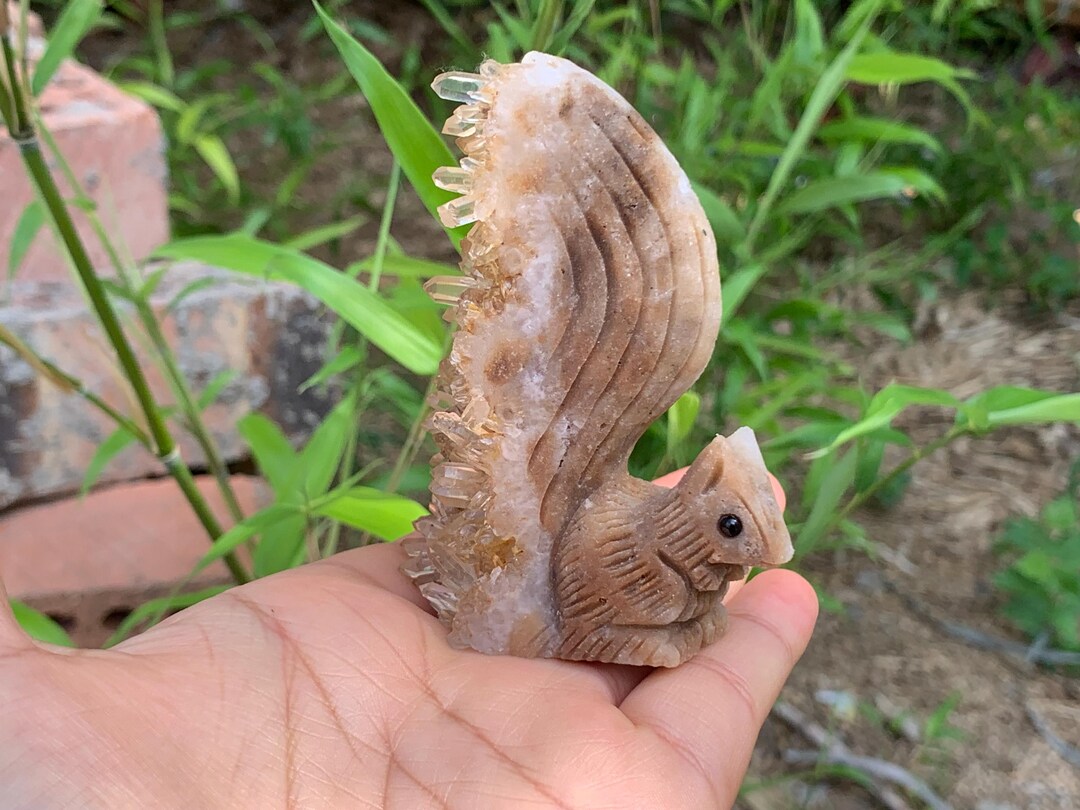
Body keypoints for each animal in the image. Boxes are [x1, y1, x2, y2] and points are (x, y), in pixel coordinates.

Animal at [405, 53, 793, 668]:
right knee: (600, 634)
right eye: (731, 525)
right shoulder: (646, 573)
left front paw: (710, 624)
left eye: (775, 512)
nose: (783, 553)